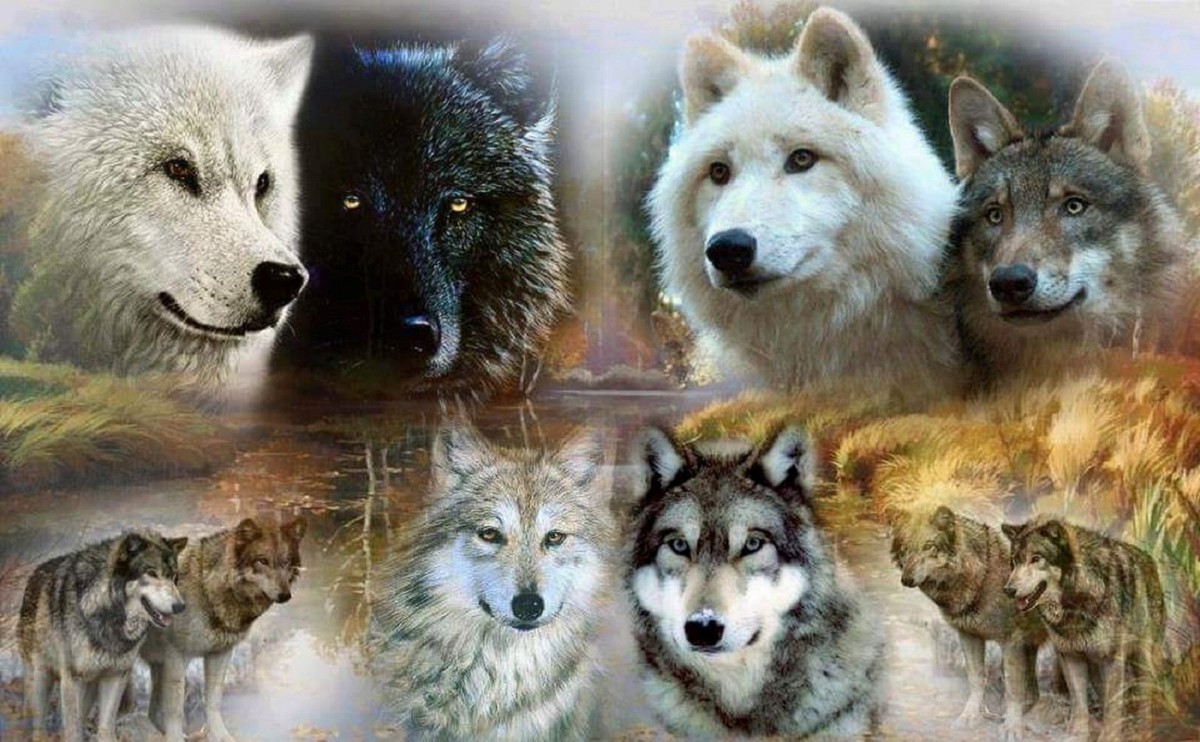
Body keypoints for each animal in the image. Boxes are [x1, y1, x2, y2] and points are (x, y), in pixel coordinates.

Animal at [18, 531, 188, 742]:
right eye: (151, 573)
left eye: (174, 576)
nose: (180, 606)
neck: (109, 614)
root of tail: (35, 573)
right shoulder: (73, 679)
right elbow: (73, 731)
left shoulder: (115, 676)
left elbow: (106, 727)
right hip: (41, 679)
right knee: (38, 725)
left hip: (90, 686)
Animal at [138, 516, 306, 742]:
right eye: (263, 561)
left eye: (287, 562)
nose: (285, 595)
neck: (207, 590)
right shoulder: (175, 657)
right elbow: (175, 710)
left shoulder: (220, 654)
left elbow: (214, 701)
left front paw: (221, 736)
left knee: (152, 712)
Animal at [891, 506, 1045, 741]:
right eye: (905, 549)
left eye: (928, 546)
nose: (906, 580)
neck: (982, 576)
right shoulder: (968, 635)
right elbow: (976, 678)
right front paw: (970, 716)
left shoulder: (1012, 642)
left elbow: (1012, 687)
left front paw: (1012, 727)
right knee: (1034, 692)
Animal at [1002, 517, 1166, 742]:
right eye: (1015, 561)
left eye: (1036, 558)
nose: (1008, 590)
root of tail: (1149, 560)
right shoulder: (1071, 656)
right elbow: (1079, 703)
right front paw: (1078, 735)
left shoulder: (1113, 659)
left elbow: (1114, 707)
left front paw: (1110, 738)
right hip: (1096, 666)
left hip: (1141, 661)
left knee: (1144, 700)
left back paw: (1143, 731)